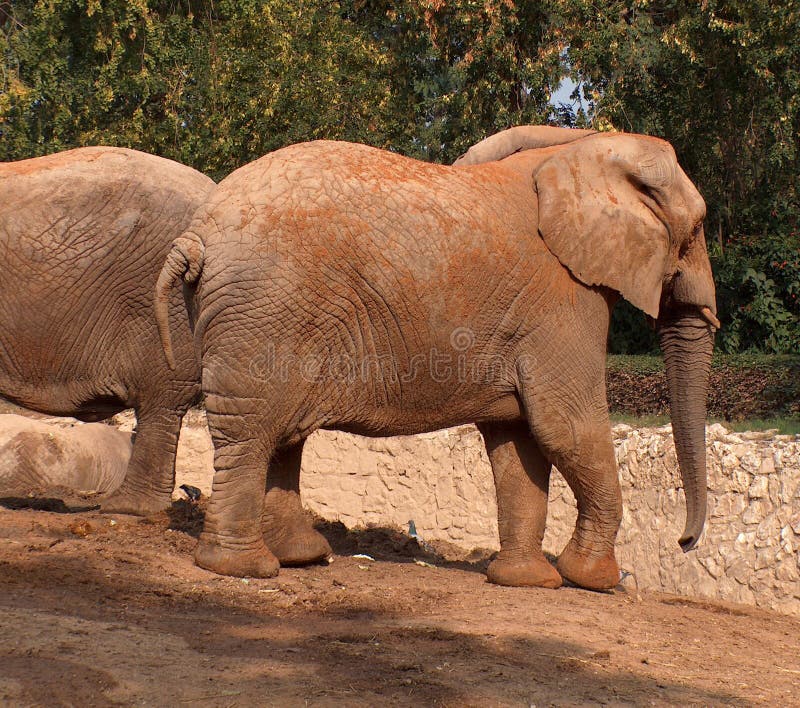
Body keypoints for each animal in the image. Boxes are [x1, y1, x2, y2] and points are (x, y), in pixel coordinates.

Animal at [155, 126, 718, 590]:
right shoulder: (565, 299)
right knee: (253, 430)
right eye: (696, 229)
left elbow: (518, 441)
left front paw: (527, 582)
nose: (685, 542)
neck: (586, 146)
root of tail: (196, 233)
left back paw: (303, 557)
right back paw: (243, 568)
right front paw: (594, 581)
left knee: (282, 431)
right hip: (267, 307)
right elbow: (566, 426)